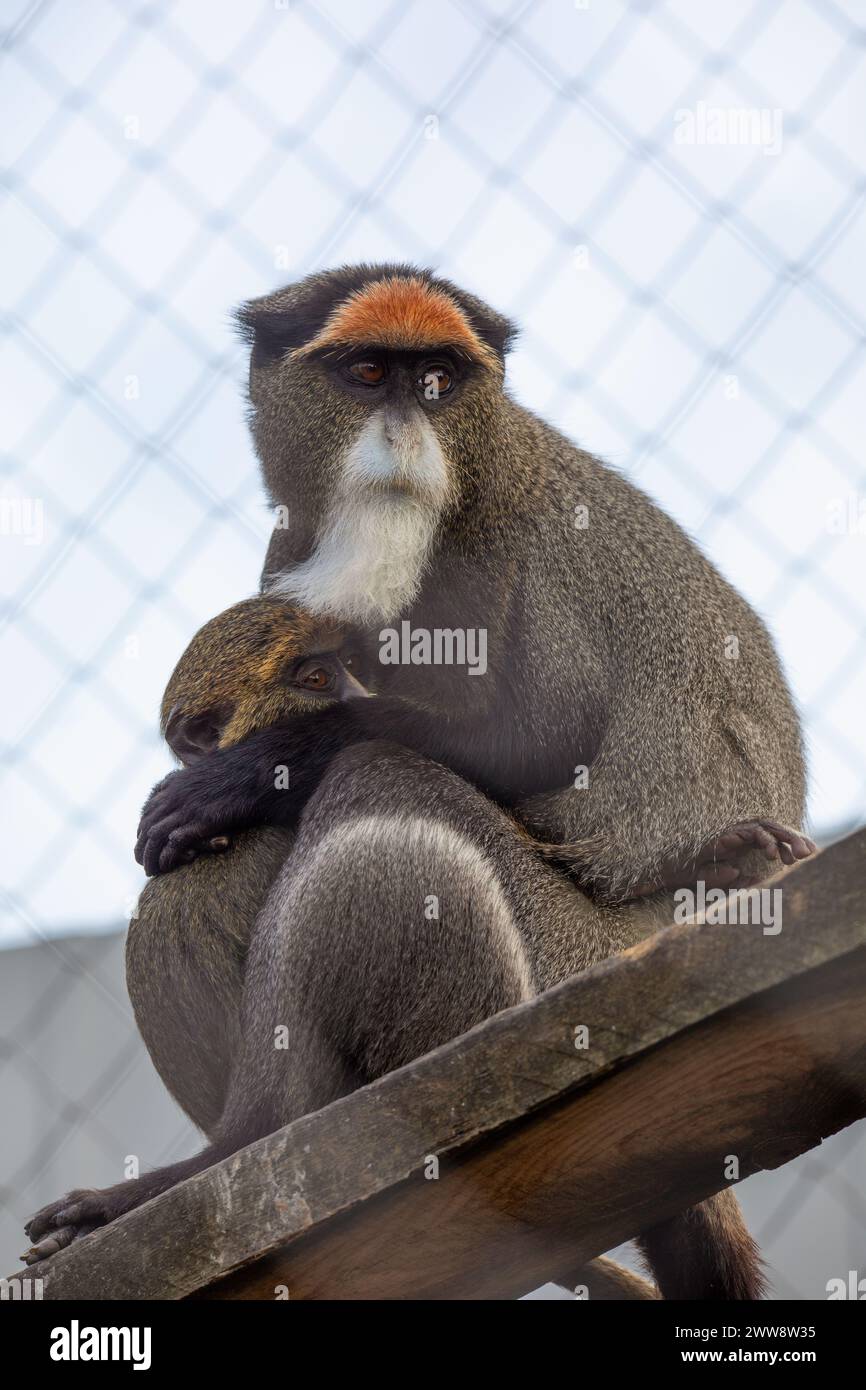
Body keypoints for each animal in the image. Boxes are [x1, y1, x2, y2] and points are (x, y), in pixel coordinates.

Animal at [25, 265, 815, 1297]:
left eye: (435, 381)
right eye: (367, 374)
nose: (403, 424)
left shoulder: (519, 547)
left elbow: (538, 738)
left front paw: (250, 773)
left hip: (570, 958)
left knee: (385, 791)